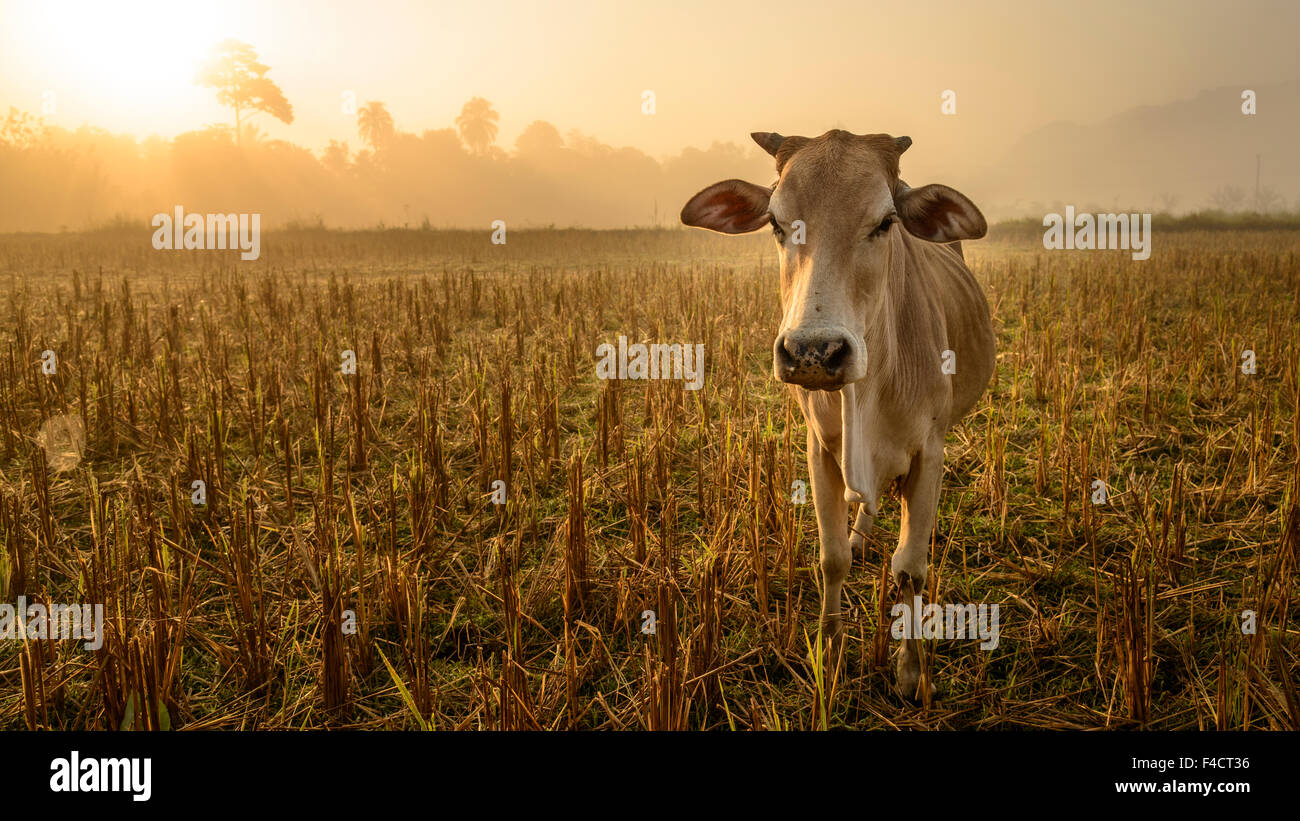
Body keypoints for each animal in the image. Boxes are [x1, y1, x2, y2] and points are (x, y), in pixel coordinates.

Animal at [680, 129, 995, 699]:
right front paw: (829, 652)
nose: (813, 352)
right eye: (777, 223)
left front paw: (911, 671)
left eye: (886, 222)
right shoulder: (821, 449)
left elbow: (910, 569)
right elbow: (831, 558)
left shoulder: (930, 452)